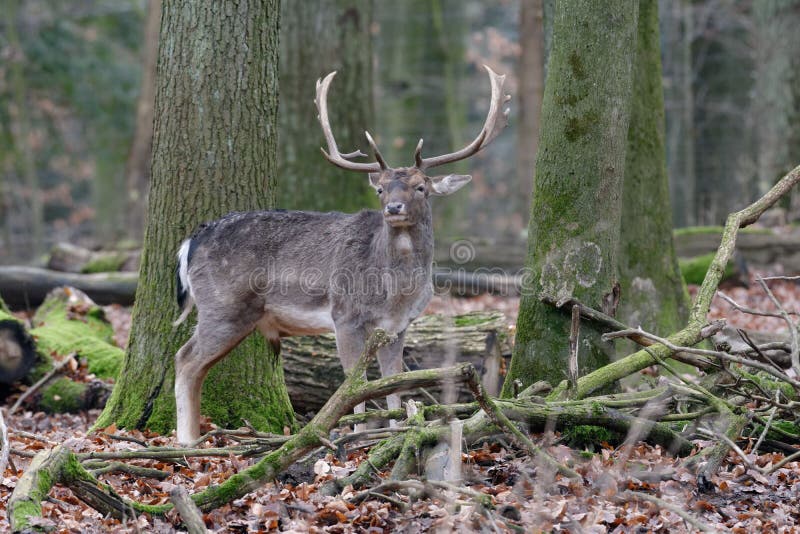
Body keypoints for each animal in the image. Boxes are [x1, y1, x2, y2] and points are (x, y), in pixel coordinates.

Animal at [172, 65, 510, 445]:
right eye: (381, 190)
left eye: (421, 187)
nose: (394, 208)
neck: (395, 293)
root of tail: (191, 241)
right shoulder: (345, 315)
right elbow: (354, 385)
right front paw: (358, 435)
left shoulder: (398, 327)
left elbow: (392, 384)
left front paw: (395, 430)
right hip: (224, 304)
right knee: (185, 359)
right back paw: (186, 441)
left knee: (194, 364)